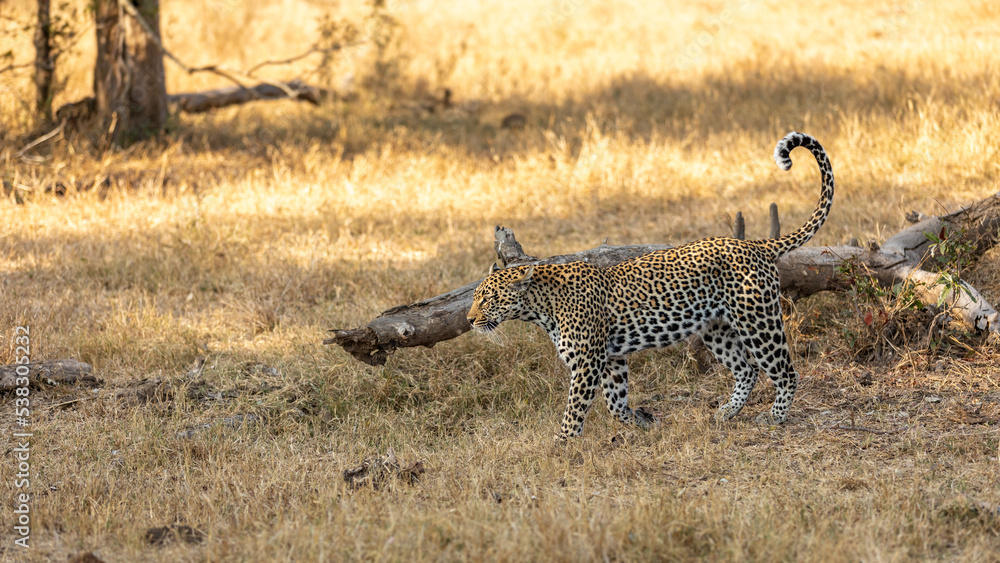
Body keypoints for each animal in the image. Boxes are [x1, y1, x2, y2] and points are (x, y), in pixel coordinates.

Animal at [466, 132, 835, 439]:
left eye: (487, 299)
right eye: (475, 298)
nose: (469, 320)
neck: (542, 308)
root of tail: (755, 244)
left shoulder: (587, 362)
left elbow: (575, 409)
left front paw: (562, 444)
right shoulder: (611, 359)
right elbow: (615, 402)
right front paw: (643, 420)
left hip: (758, 322)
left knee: (785, 371)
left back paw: (775, 417)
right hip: (716, 328)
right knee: (746, 369)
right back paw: (727, 412)